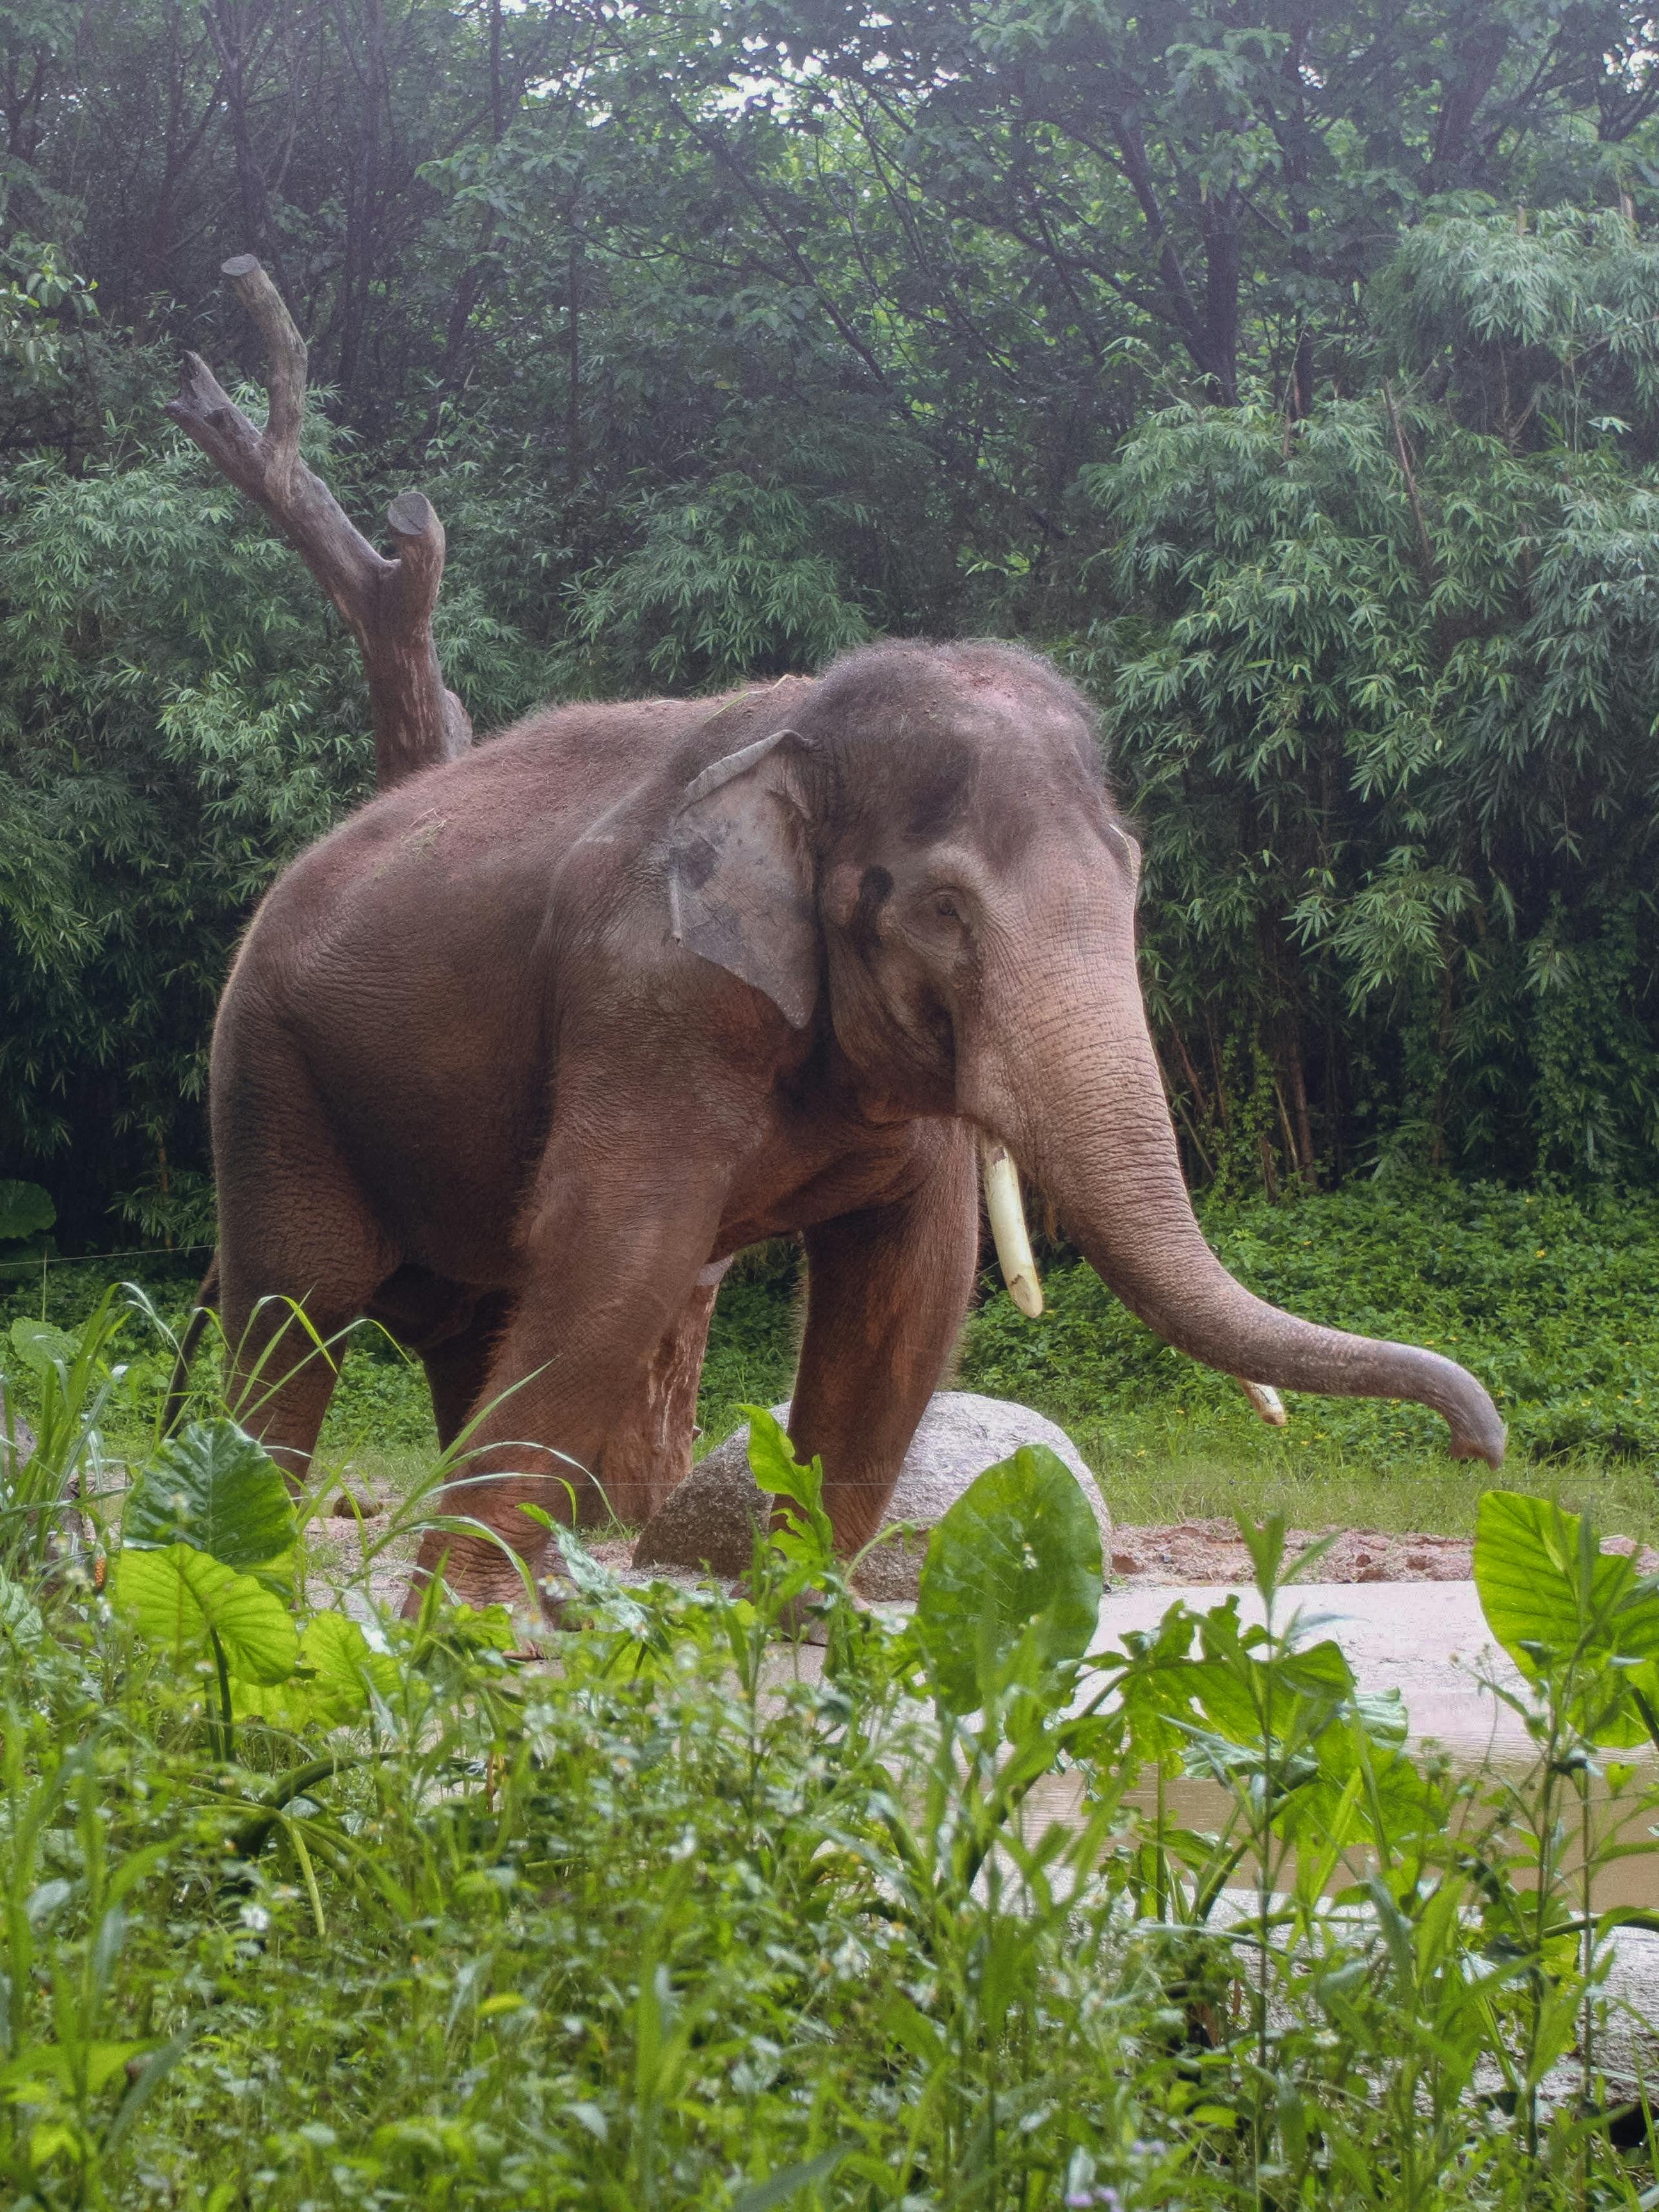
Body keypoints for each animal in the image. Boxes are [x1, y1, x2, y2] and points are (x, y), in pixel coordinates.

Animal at [209, 639, 1503, 1606]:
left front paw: (803, 1610)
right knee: (296, 1311)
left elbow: (912, 1277)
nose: (1478, 1448)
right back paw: (257, 1577)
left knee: (468, 1329)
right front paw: (460, 1630)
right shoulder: (651, 994)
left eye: (1133, 877)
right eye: (944, 910)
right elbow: (617, 1263)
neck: (801, 732)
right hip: (270, 1078)